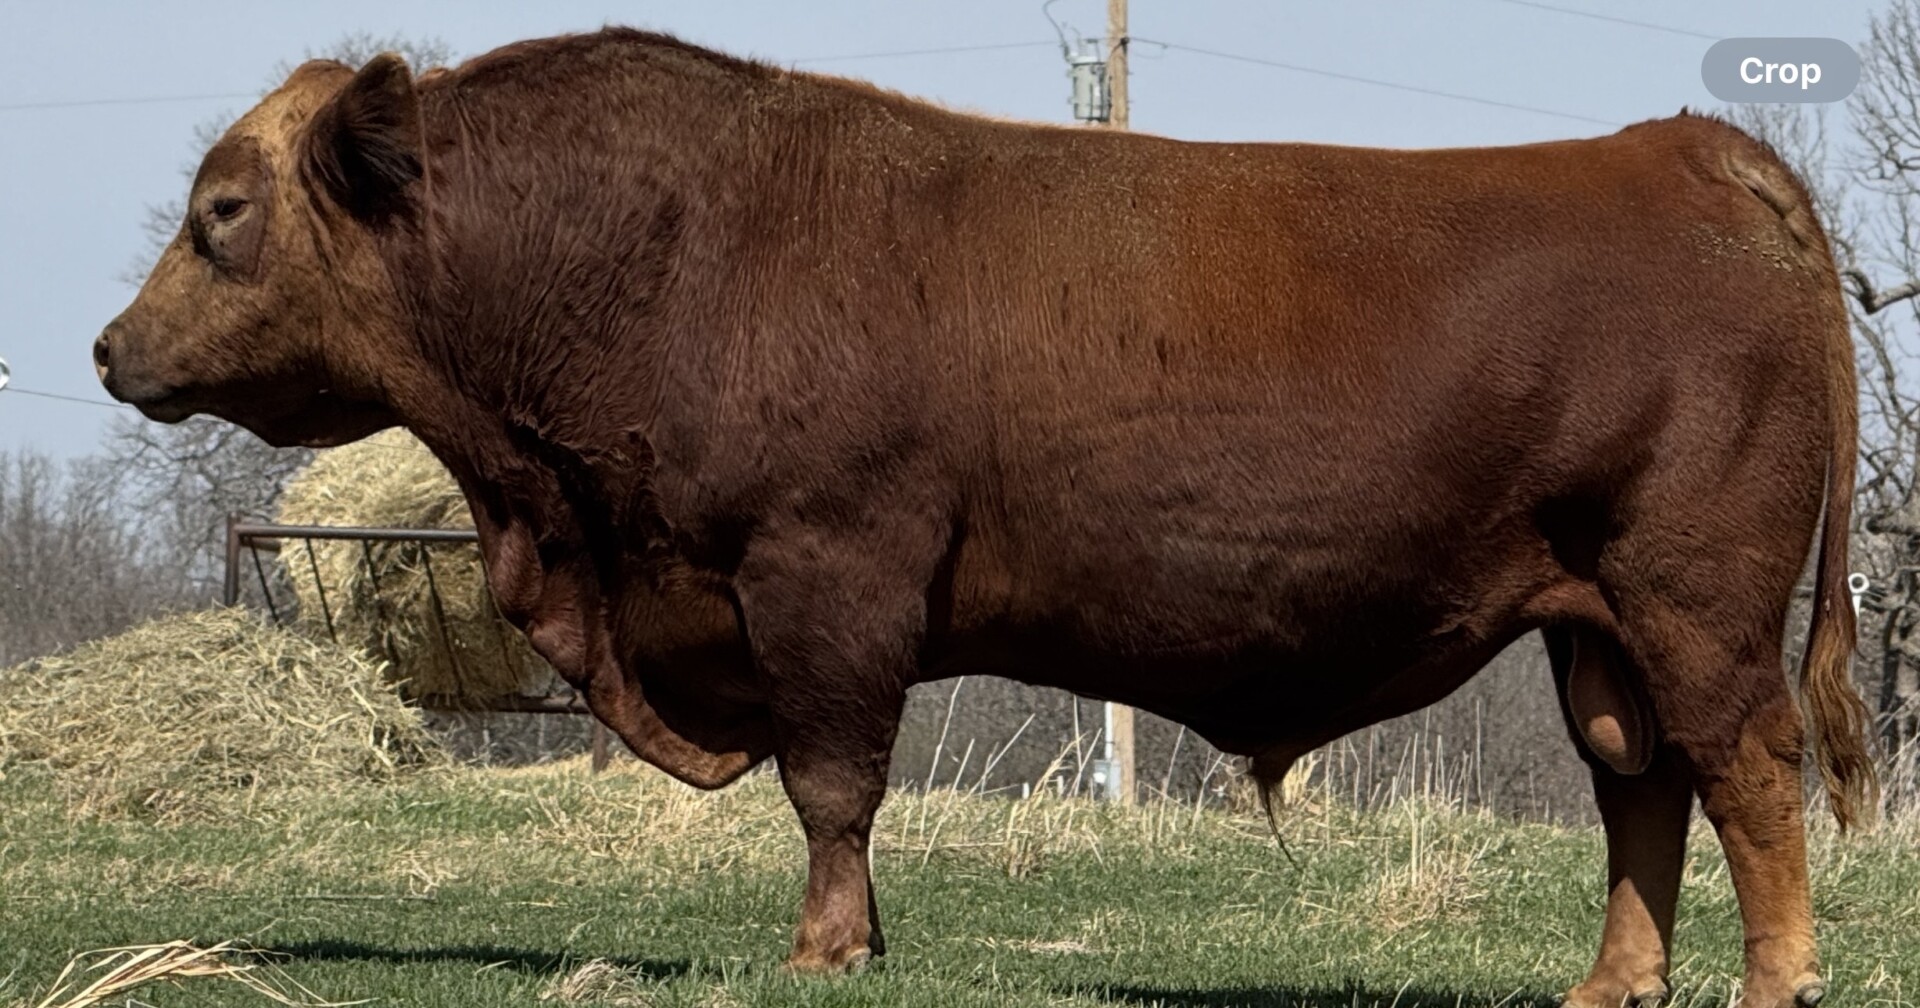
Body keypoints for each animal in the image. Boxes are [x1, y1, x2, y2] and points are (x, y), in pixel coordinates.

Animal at [94, 29, 1876, 1008]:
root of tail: (1688, 155)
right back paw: (1610, 985)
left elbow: (832, 783)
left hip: (1696, 601)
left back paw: (1775, 979)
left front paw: (823, 950)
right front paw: (864, 941)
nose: (111, 347)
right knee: (1641, 788)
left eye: (224, 210)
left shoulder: (823, 578)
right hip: (1595, 625)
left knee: (1746, 773)